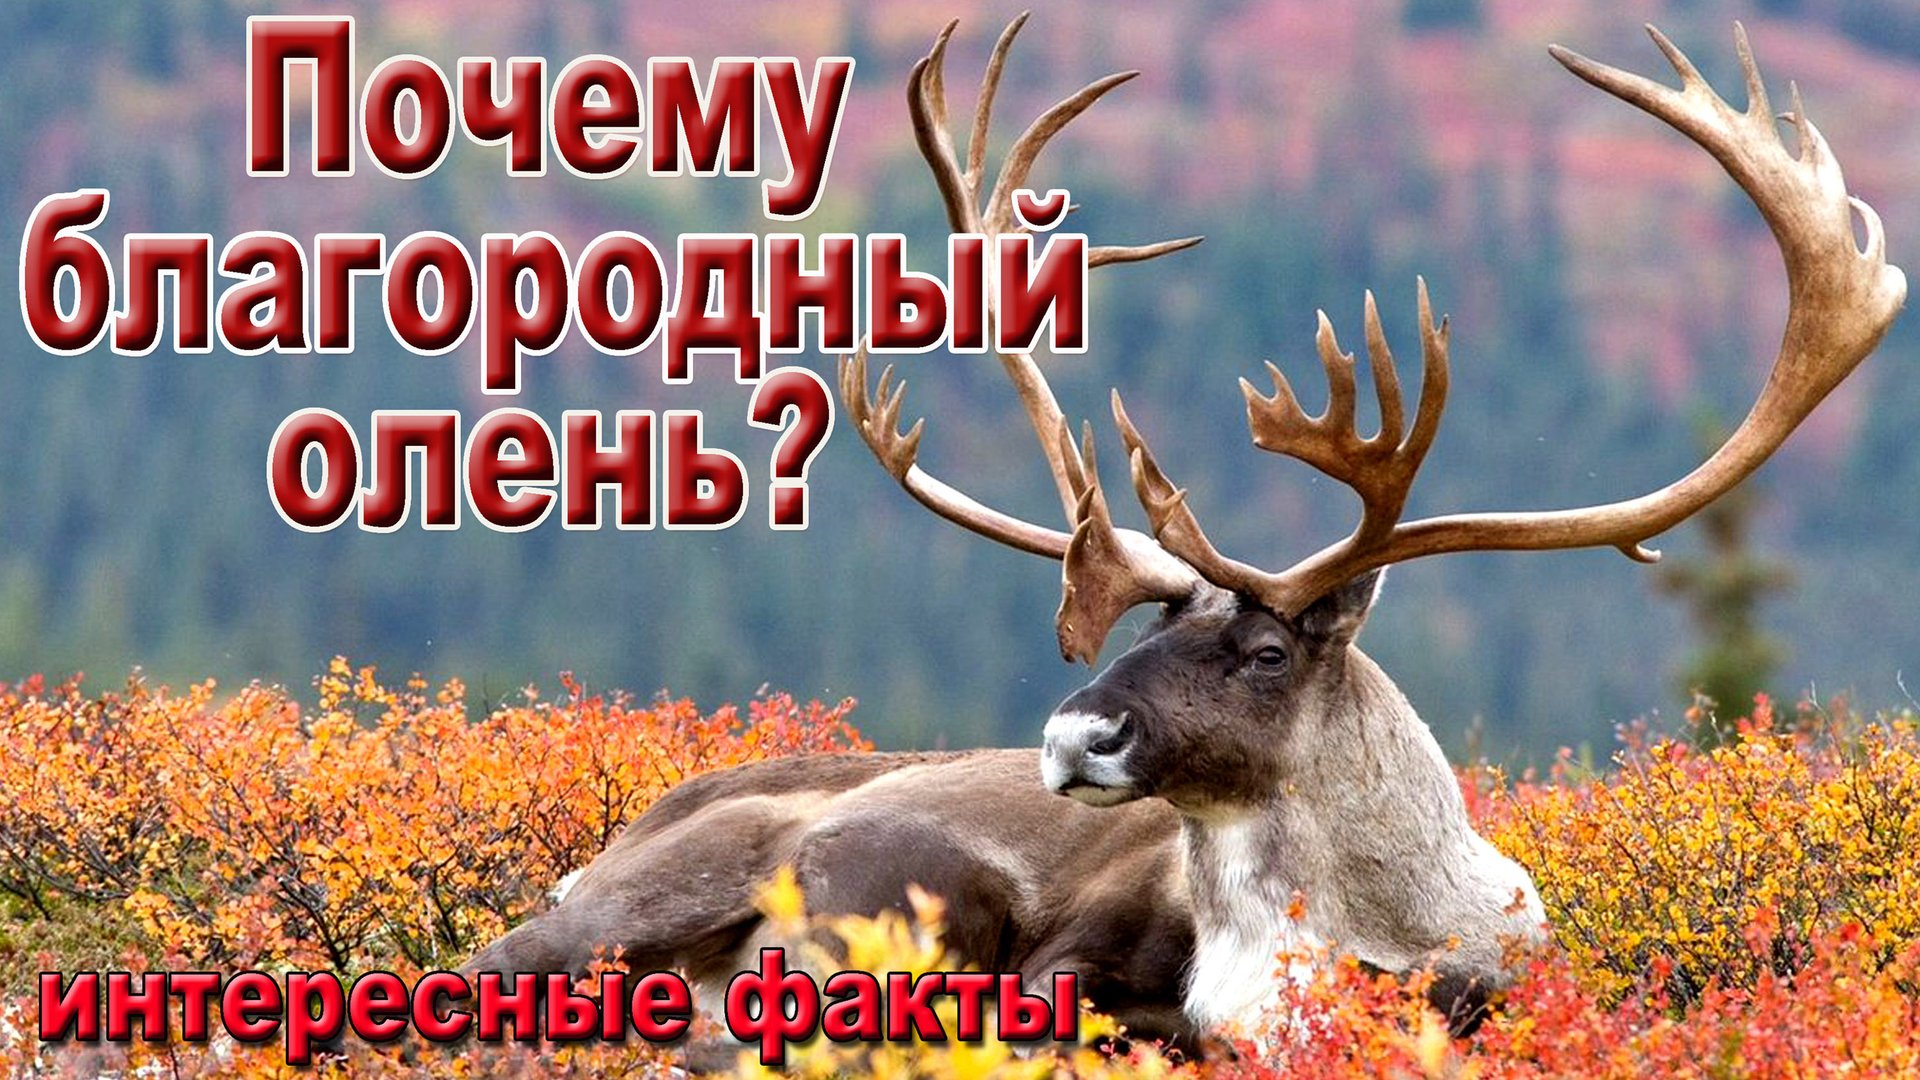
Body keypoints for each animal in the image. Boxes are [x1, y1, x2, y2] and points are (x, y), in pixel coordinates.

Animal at [465, 15, 1905, 1053]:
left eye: (1268, 652)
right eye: (1152, 621)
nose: (1075, 733)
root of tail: (630, 825)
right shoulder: (1074, 970)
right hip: (673, 905)